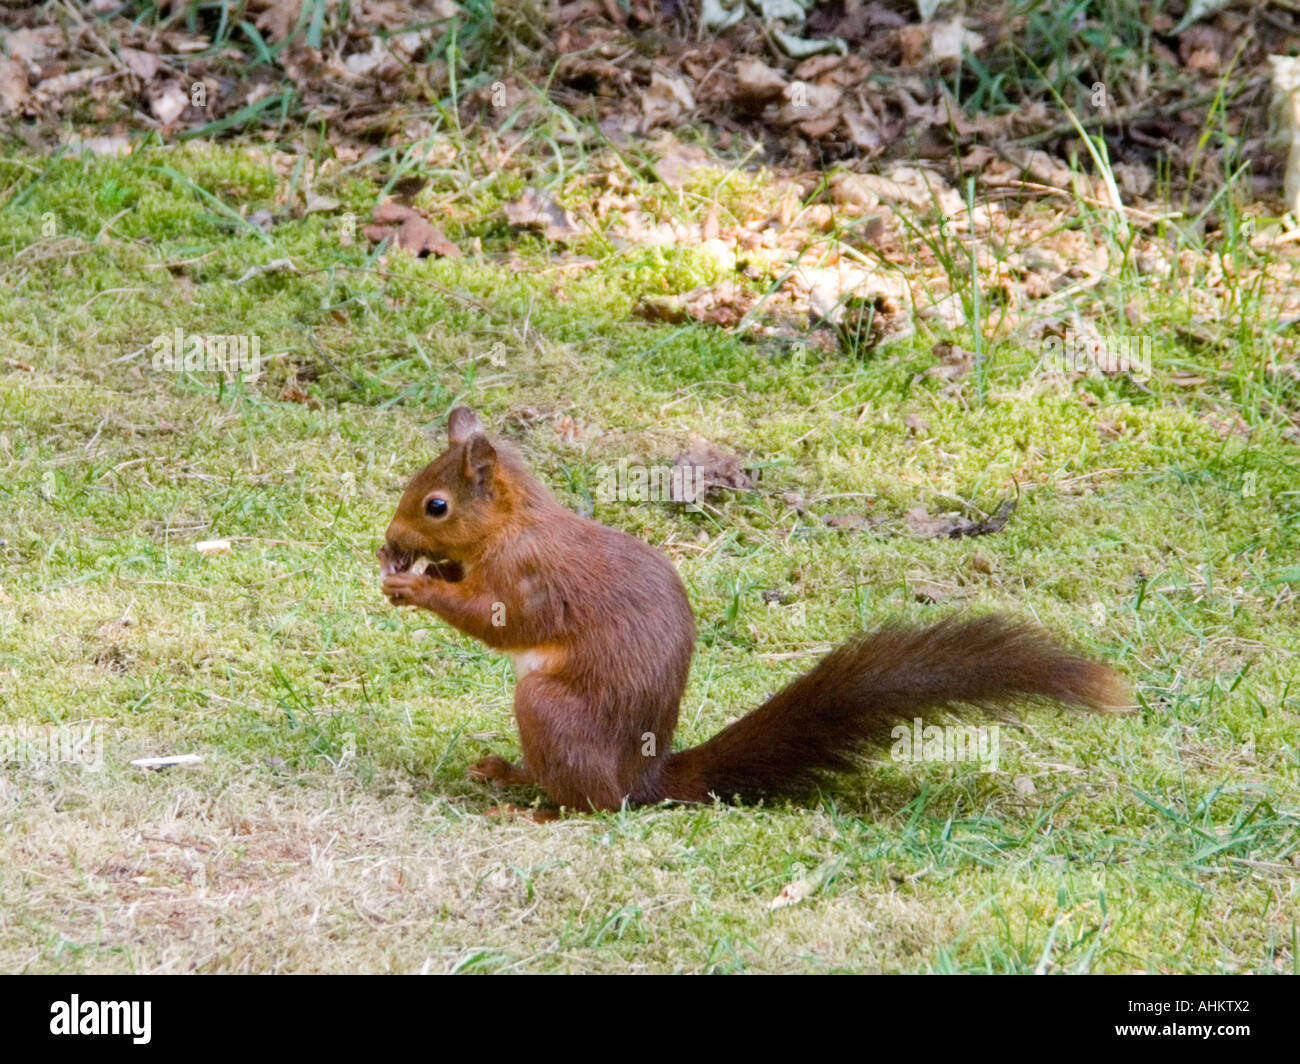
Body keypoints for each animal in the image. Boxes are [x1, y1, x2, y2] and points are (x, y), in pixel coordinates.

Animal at [379, 405, 1129, 813]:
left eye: (436, 504)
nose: (389, 541)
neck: (515, 525)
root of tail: (645, 776)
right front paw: (418, 570)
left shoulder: (529, 578)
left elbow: (500, 619)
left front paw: (417, 587)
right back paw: (505, 774)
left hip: (551, 710)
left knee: (593, 804)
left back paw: (534, 809)